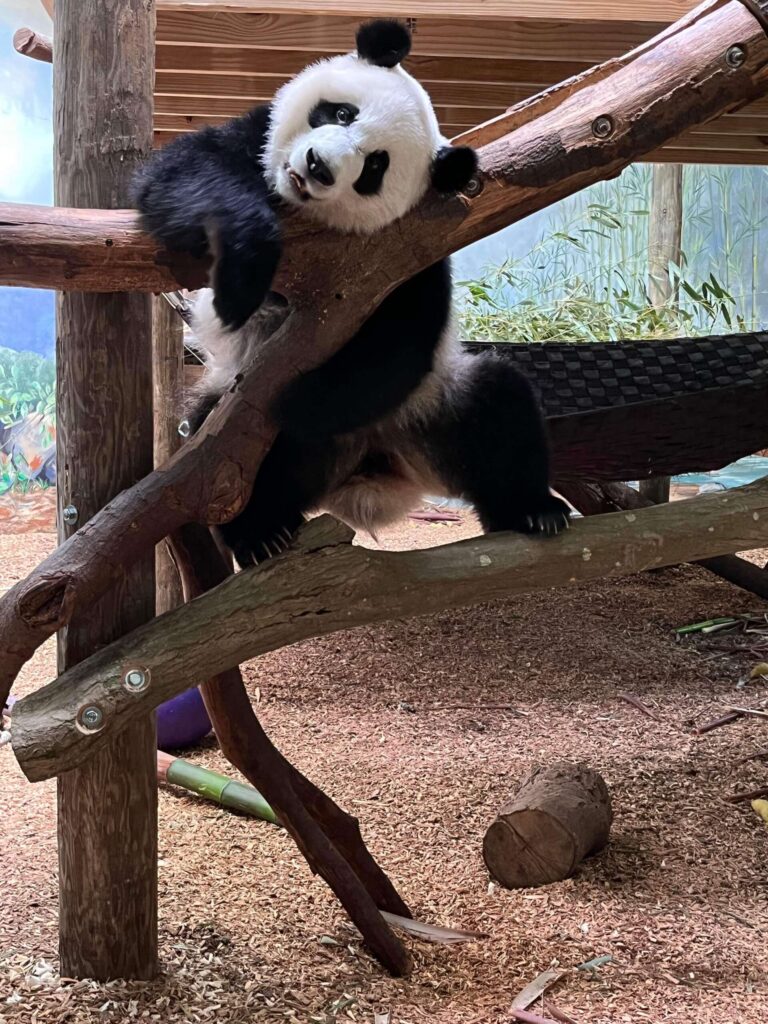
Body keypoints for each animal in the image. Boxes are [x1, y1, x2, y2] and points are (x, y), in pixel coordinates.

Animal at [133, 19, 570, 568]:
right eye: (342, 113)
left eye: (374, 168)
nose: (318, 165)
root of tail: (374, 471)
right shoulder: (253, 141)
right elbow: (182, 174)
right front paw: (244, 272)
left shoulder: (409, 252)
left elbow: (402, 345)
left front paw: (298, 401)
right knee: (226, 458)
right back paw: (259, 531)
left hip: (433, 409)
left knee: (498, 404)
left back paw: (533, 510)